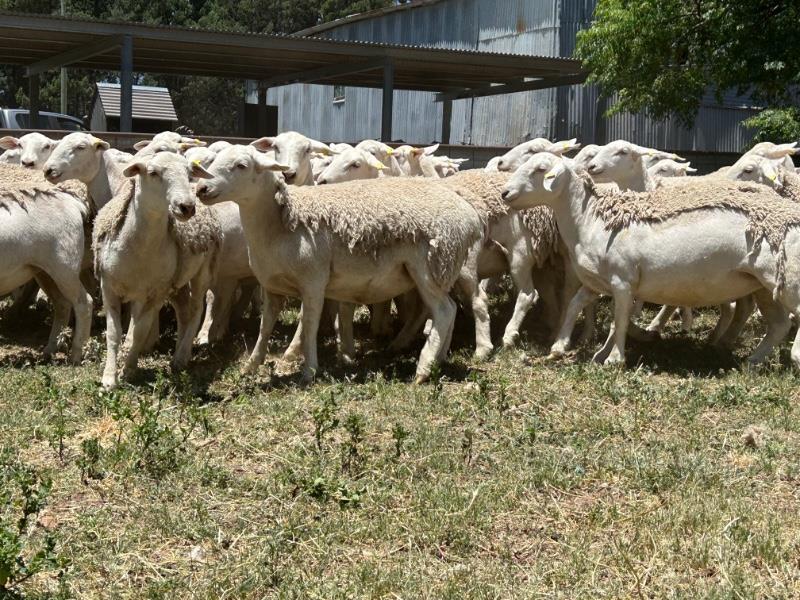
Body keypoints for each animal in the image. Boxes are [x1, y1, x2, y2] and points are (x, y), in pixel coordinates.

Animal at [0, 164, 93, 363]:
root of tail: (71, 201)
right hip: (43, 271)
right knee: (62, 304)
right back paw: (50, 349)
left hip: (64, 267)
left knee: (84, 303)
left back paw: (77, 354)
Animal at [94, 152, 221, 389]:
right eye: (152, 173)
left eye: (188, 172)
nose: (186, 207)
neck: (140, 249)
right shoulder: (109, 288)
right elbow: (115, 334)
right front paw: (109, 378)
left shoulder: (157, 292)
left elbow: (139, 332)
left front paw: (128, 370)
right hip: (177, 280)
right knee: (183, 311)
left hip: (203, 270)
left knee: (195, 310)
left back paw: (181, 356)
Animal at [194, 144, 483, 383]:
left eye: (241, 165)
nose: (201, 189)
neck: (281, 223)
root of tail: (470, 216)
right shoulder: (272, 286)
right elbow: (265, 328)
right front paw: (251, 366)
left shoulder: (313, 281)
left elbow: (309, 325)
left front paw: (309, 371)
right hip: (439, 269)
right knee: (446, 310)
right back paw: (435, 359)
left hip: (431, 266)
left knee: (444, 311)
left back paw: (423, 369)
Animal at [502, 153, 800, 369]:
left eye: (540, 169)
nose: (504, 193)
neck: (590, 218)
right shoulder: (601, 282)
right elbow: (578, 306)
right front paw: (562, 346)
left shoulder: (622, 280)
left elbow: (619, 319)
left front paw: (613, 359)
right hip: (764, 285)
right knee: (779, 325)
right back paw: (752, 361)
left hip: (788, 281)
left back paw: (791, 358)